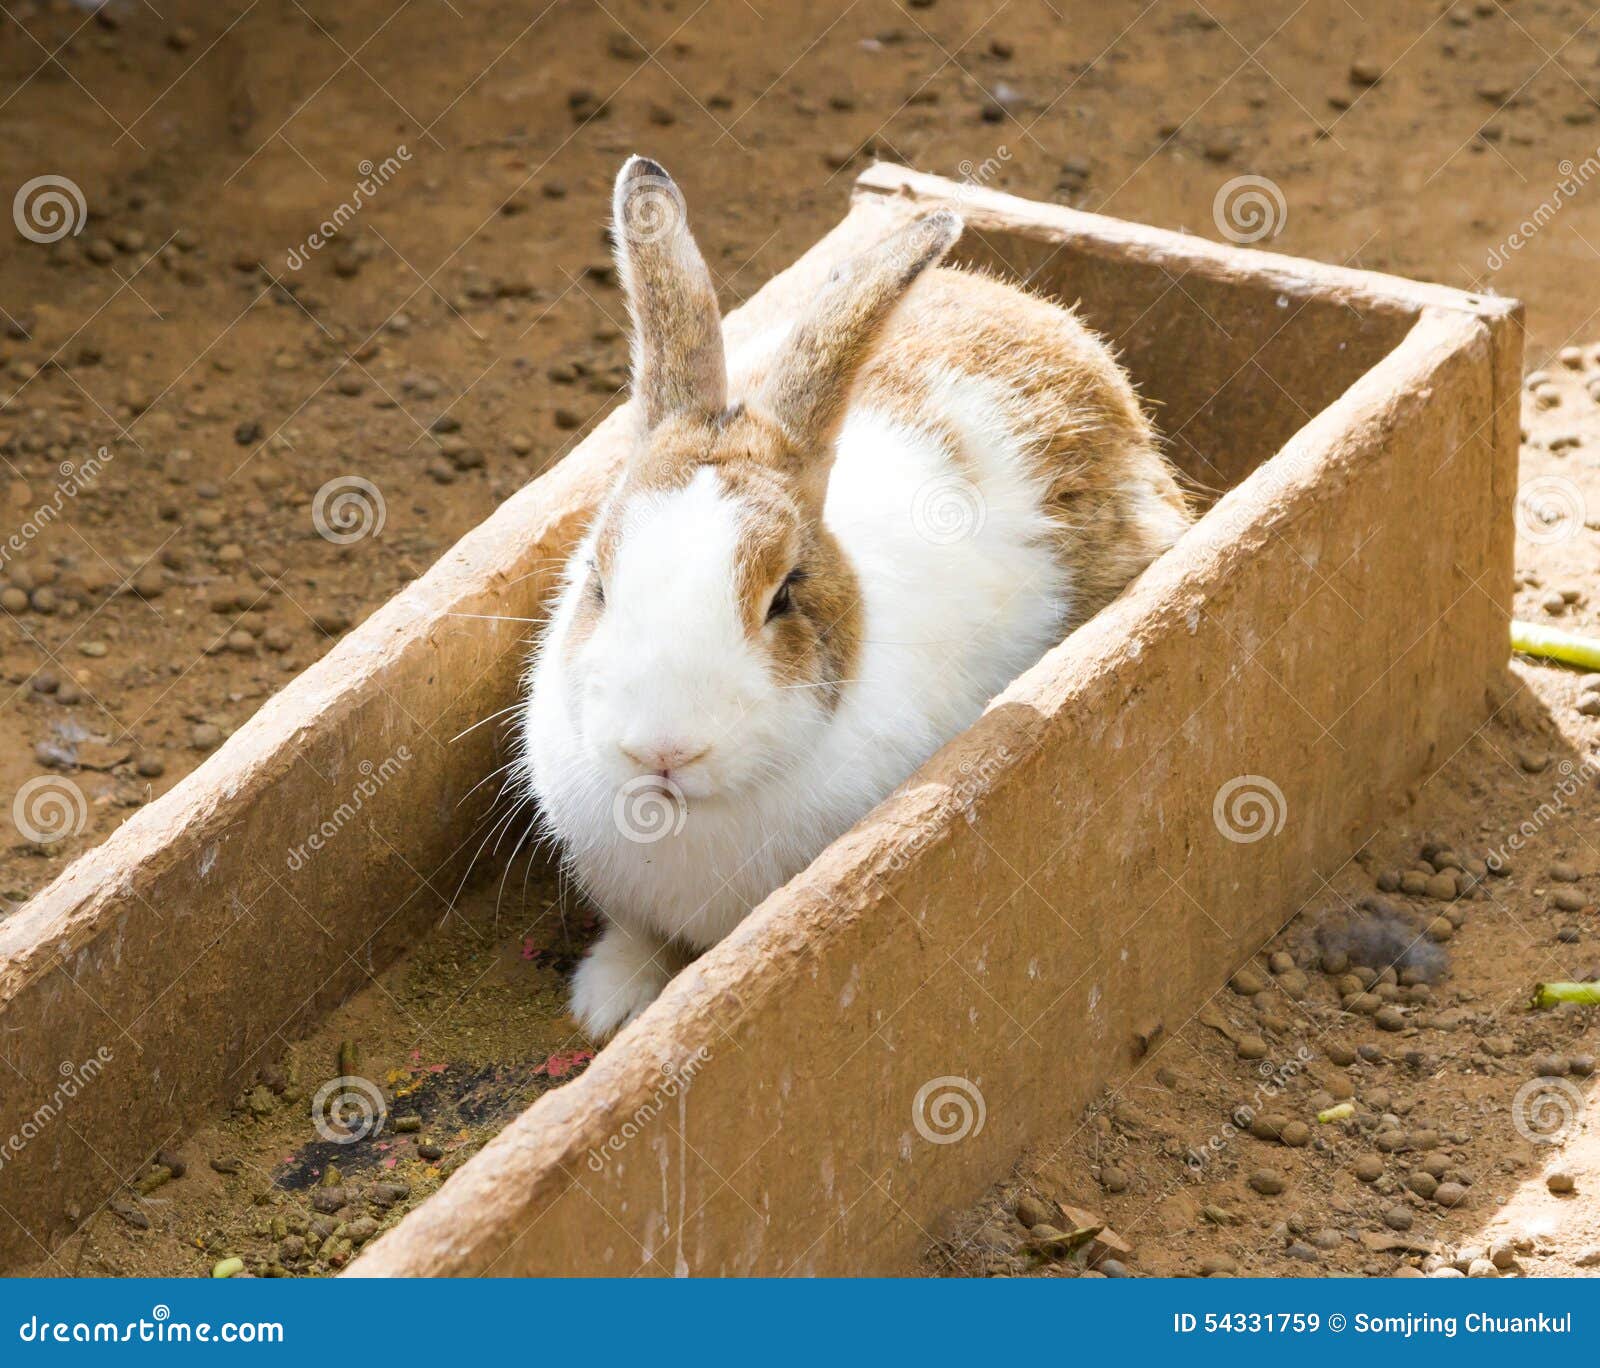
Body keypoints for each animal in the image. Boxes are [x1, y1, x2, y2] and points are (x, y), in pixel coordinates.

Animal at [517, 156, 1191, 1040]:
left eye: (782, 595)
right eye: (597, 579)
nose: (662, 750)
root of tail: (1049, 321)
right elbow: (638, 936)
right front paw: (609, 1005)